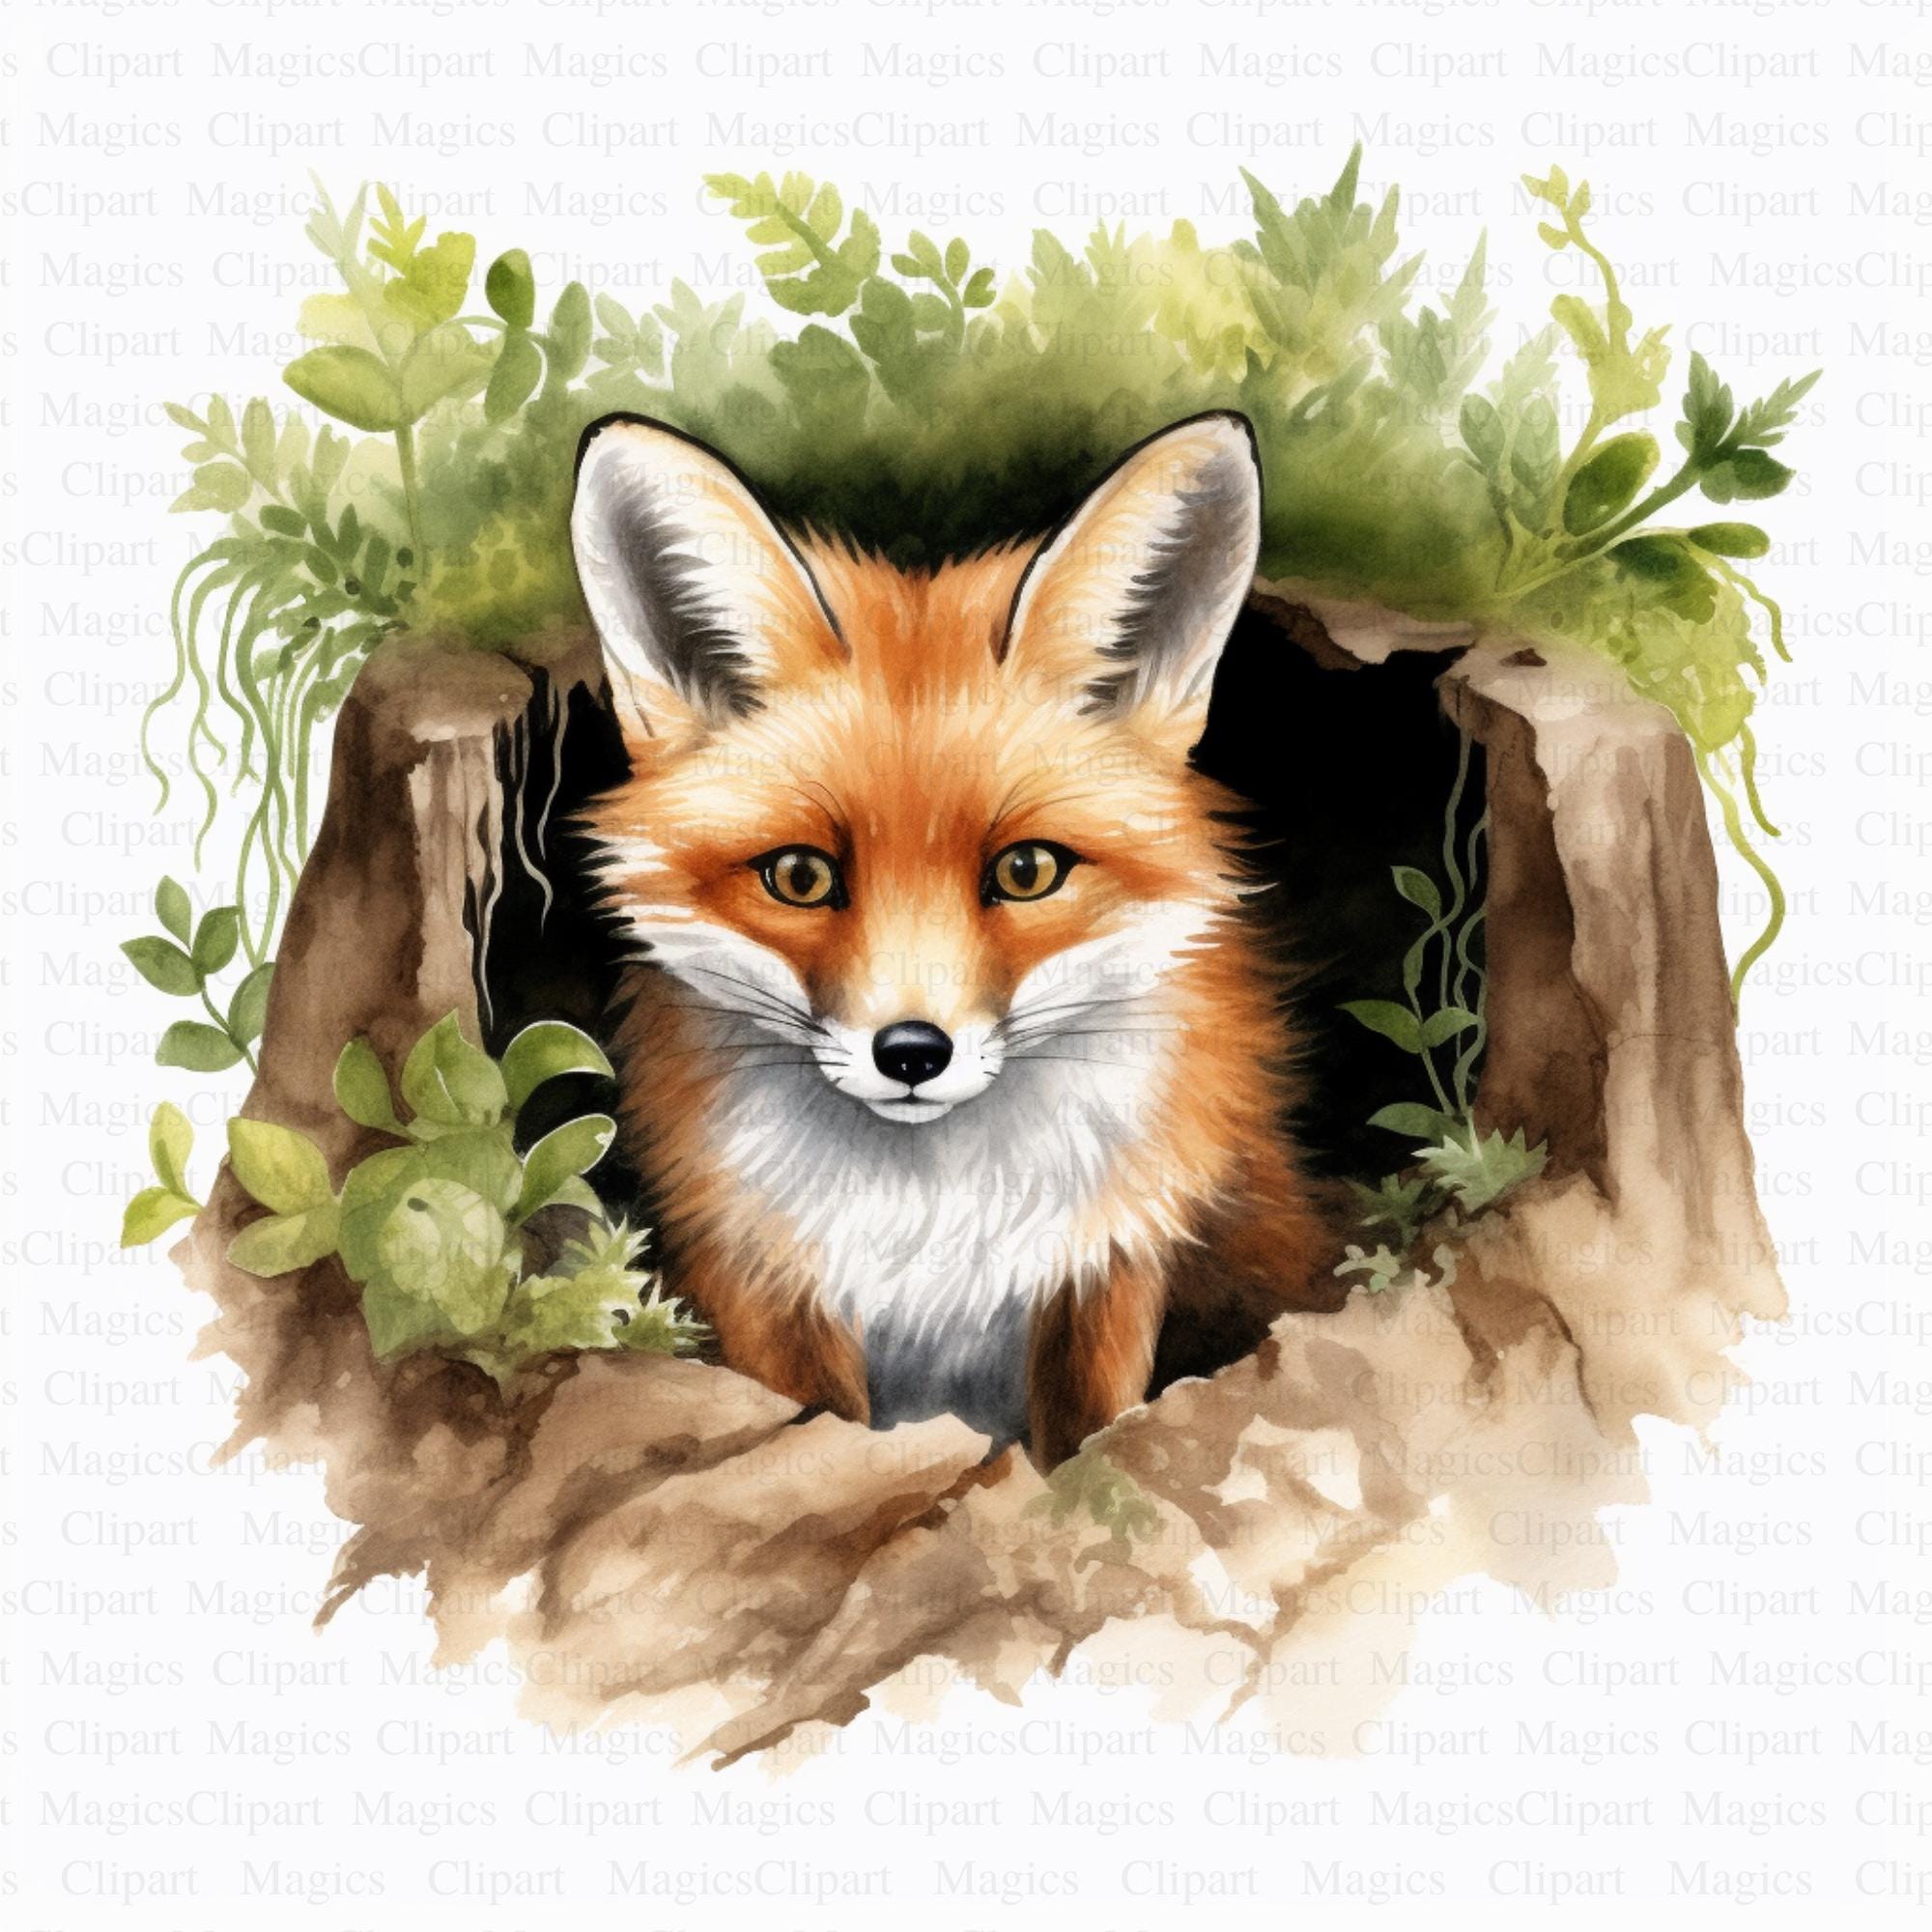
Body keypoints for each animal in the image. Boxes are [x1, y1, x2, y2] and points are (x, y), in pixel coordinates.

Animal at [569, 408, 1342, 1468]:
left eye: (1026, 871)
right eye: (800, 876)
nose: (909, 1053)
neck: (931, 1219)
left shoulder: (1105, 1259)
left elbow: (1085, 1434)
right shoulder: (760, 1274)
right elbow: (817, 1425)